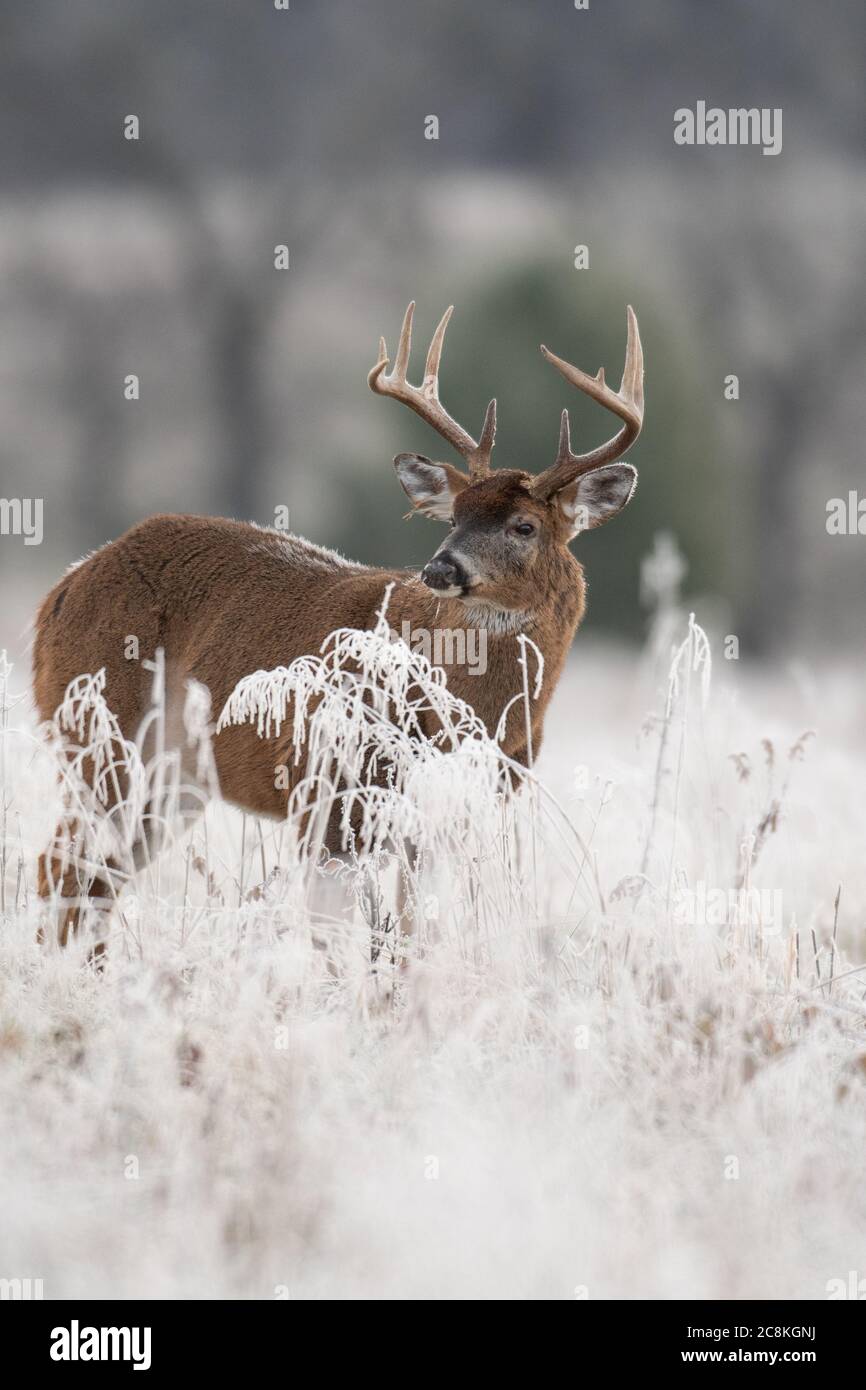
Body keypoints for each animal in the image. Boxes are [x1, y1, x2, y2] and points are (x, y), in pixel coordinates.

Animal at [33, 301, 644, 948]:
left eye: (524, 526)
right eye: (454, 516)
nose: (440, 567)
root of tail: (58, 593)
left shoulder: (454, 816)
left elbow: (411, 937)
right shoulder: (331, 789)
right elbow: (345, 938)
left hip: (173, 779)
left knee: (95, 880)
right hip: (98, 735)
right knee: (59, 870)